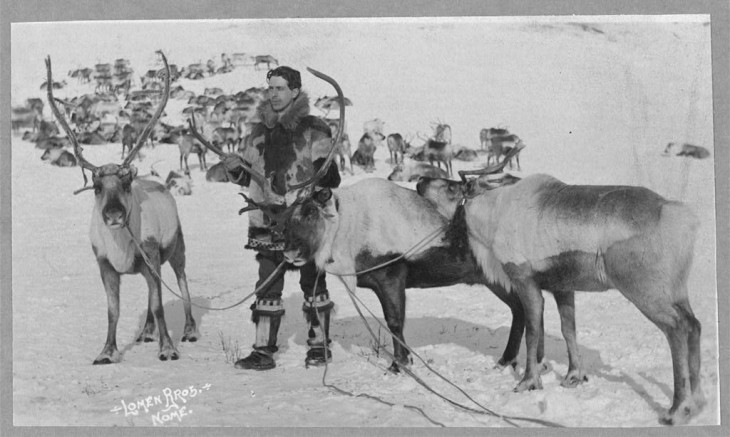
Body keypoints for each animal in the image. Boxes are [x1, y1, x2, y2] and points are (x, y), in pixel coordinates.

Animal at [45, 51, 200, 365]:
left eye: (126, 184)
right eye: (96, 187)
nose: (114, 214)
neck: (121, 247)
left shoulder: (151, 256)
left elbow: (159, 305)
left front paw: (168, 349)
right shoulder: (105, 263)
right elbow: (113, 310)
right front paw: (106, 352)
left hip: (177, 248)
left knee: (182, 281)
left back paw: (189, 331)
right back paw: (146, 333)